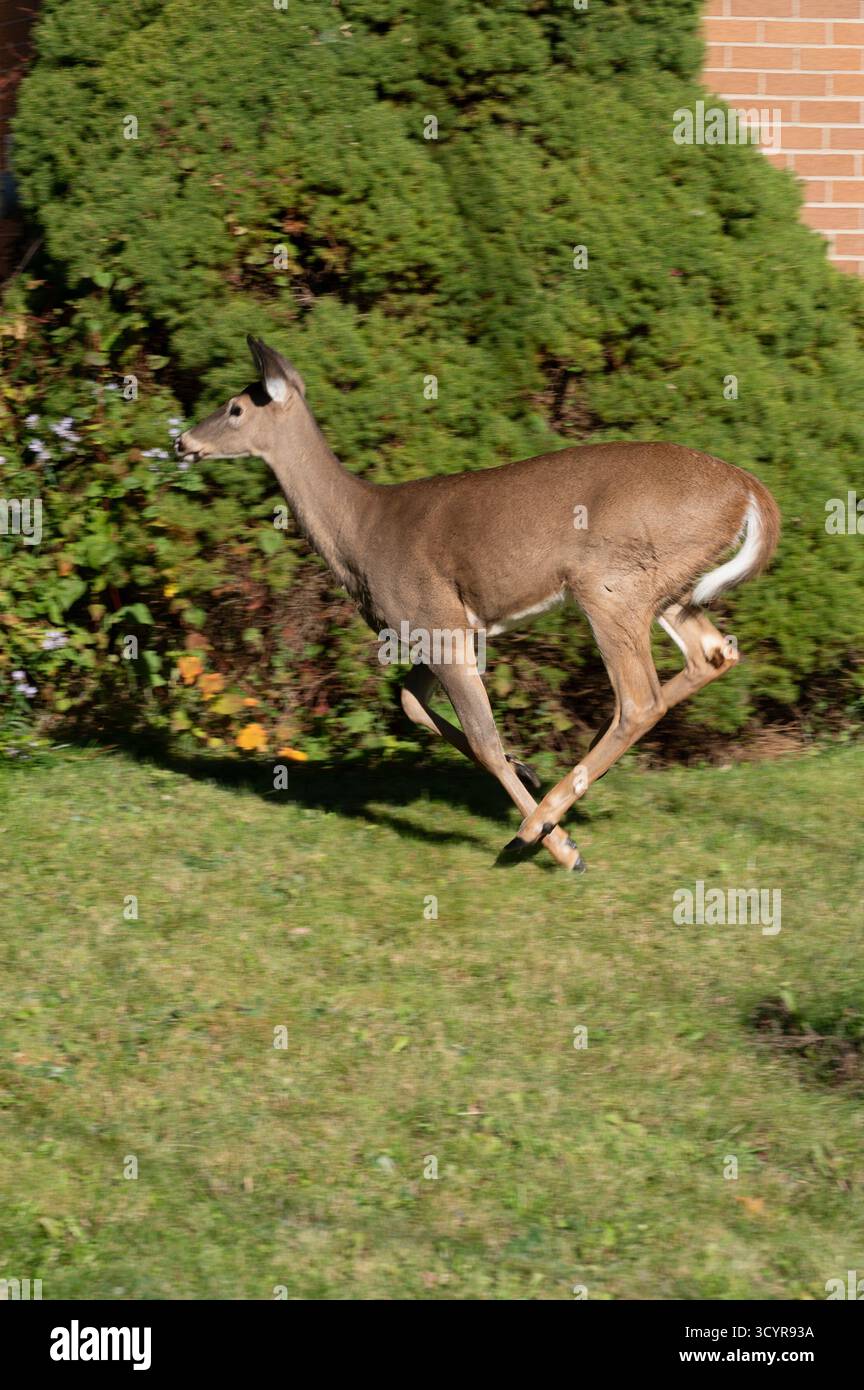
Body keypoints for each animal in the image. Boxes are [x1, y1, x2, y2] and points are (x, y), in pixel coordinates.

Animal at [176, 336, 781, 874]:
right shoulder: (450, 627)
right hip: (671, 588)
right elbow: (411, 703)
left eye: (234, 408)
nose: (183, 442)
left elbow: (483, 739)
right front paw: (529, 771)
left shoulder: (435, 618)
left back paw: (532, 833)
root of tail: (748, 489)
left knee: (640, 699)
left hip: (611, 583)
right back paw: (566, 790)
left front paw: (560, 844)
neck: (362, 530)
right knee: (714, 654)